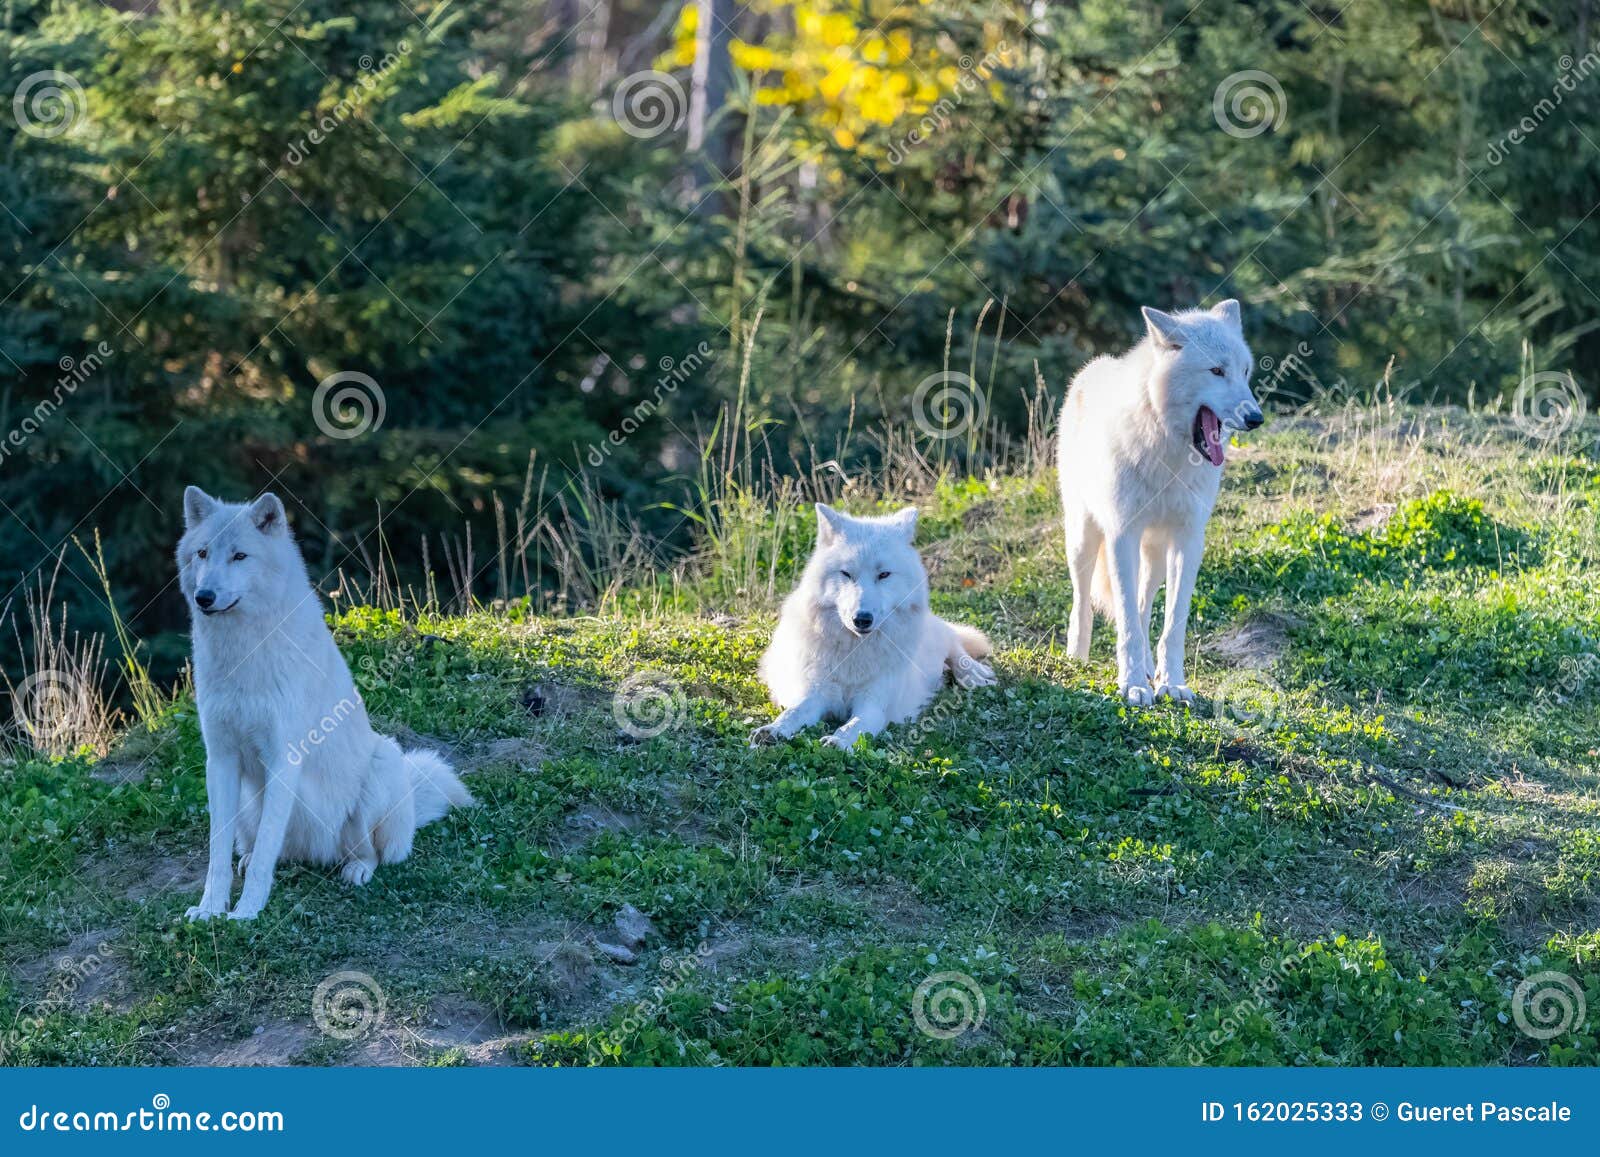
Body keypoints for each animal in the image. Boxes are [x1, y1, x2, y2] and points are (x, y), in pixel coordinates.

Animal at [178, 486, 473, 921]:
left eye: (239, 556)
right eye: (202, 553)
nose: (204, 597)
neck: (244, 655)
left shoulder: (283, 759)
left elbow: (265, 856)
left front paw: (246, 913)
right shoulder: (220, 760)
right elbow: (219, 855)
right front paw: (210, 910)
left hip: (381, 766)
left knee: (369, 854)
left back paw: (356, 870)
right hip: (250, 804)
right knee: (257, 848)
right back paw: (251, 859)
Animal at [749, 504, 996, 749]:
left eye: (884, 574)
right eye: (846, 574)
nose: (862, 619)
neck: (855, 654)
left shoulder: (874, 704)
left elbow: (855, 725)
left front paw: (839, 742)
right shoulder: (815, 693)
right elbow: (793, 712)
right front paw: (772, 730)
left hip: (936, 634)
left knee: (954, 643)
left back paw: (973, 674)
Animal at [1057, 300, 1262, 706]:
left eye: (1245, 371)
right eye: (1217, 371)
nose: (1256, 417)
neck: (1169, 458)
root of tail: (1090, 370)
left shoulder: (1188, 540)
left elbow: (1172, 626)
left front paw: (1172, 684)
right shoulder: (1122, 535)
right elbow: (1125, 623)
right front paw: (1133, 685)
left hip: (1154, 554)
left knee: (1141, 604)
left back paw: (1151, 668)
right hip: (1084, 540)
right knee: (1084, 601)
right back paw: (1077, 658)